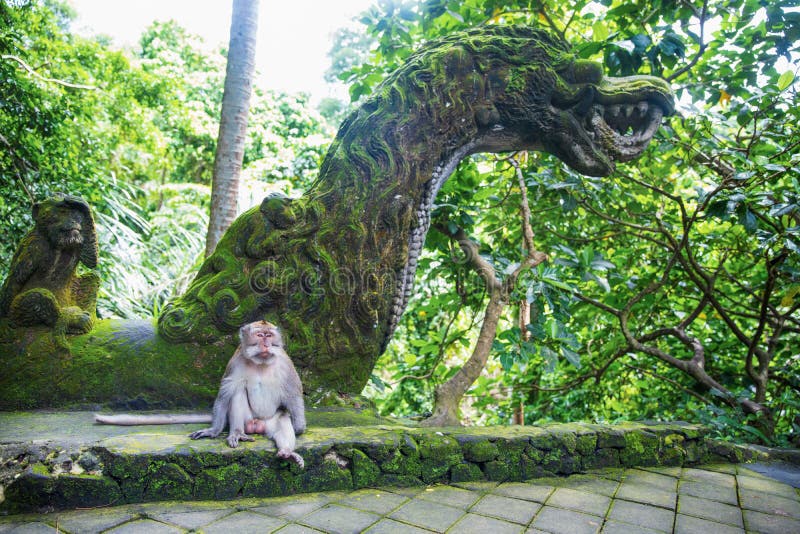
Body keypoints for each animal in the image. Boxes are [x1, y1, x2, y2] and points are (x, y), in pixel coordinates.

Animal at [95, 321, 306, 467]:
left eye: (269, 335)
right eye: (260, 335)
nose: (266, 344)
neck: (261, 362)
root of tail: (257, 425)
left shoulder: (285, 363)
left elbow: (293, 393)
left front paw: (300, 426)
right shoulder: (236, 361)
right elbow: (225, 393)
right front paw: (213, 430)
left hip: (271, 420)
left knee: (282, 420)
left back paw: (286, 452)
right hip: (247, 419)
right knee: (237, 393)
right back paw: (237, 433)